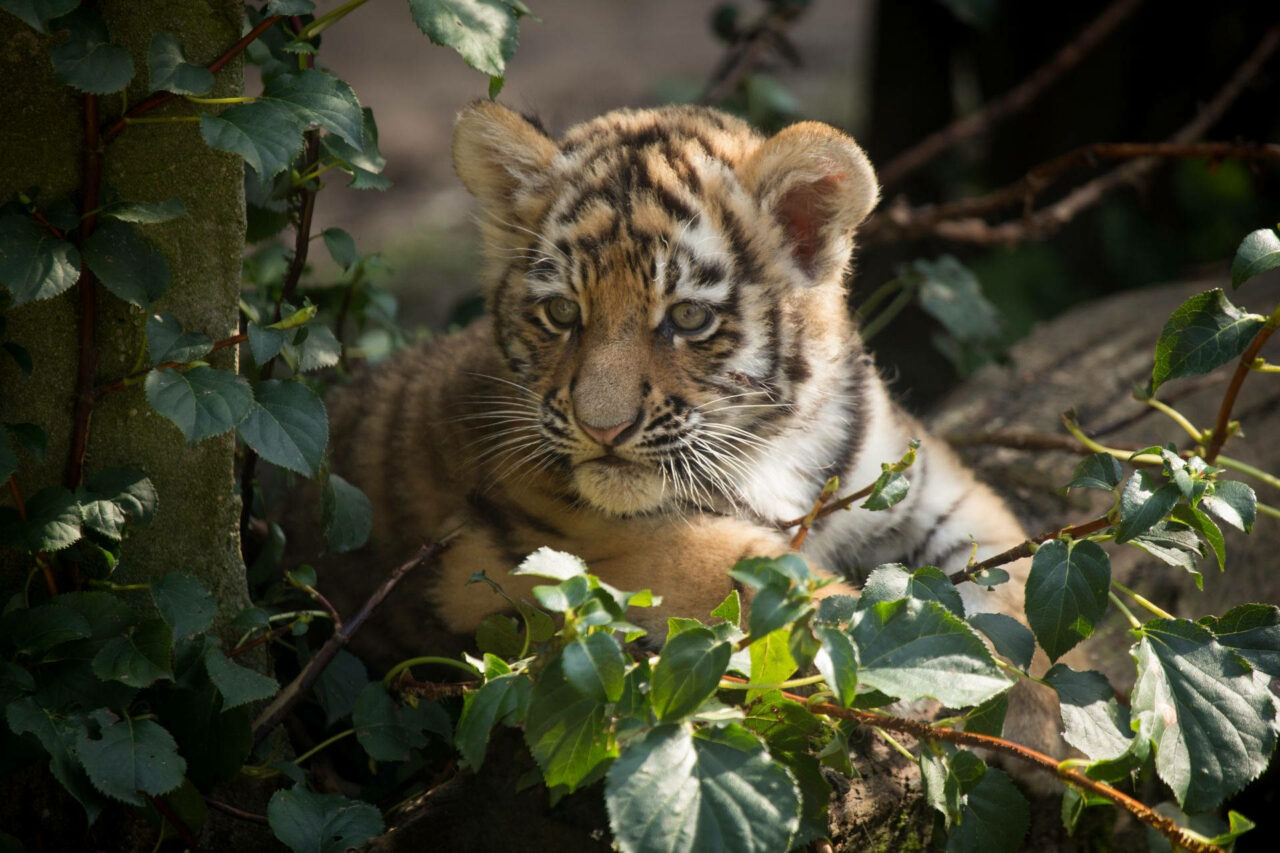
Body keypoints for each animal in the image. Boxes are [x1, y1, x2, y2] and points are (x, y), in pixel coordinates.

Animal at [324, 102, 1037, 700]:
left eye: (689, 317)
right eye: (562, 312)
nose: (602, 428)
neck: (777, 447)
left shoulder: (932, 488)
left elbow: (1020, 595)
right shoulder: (560, 558)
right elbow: (794, 597)